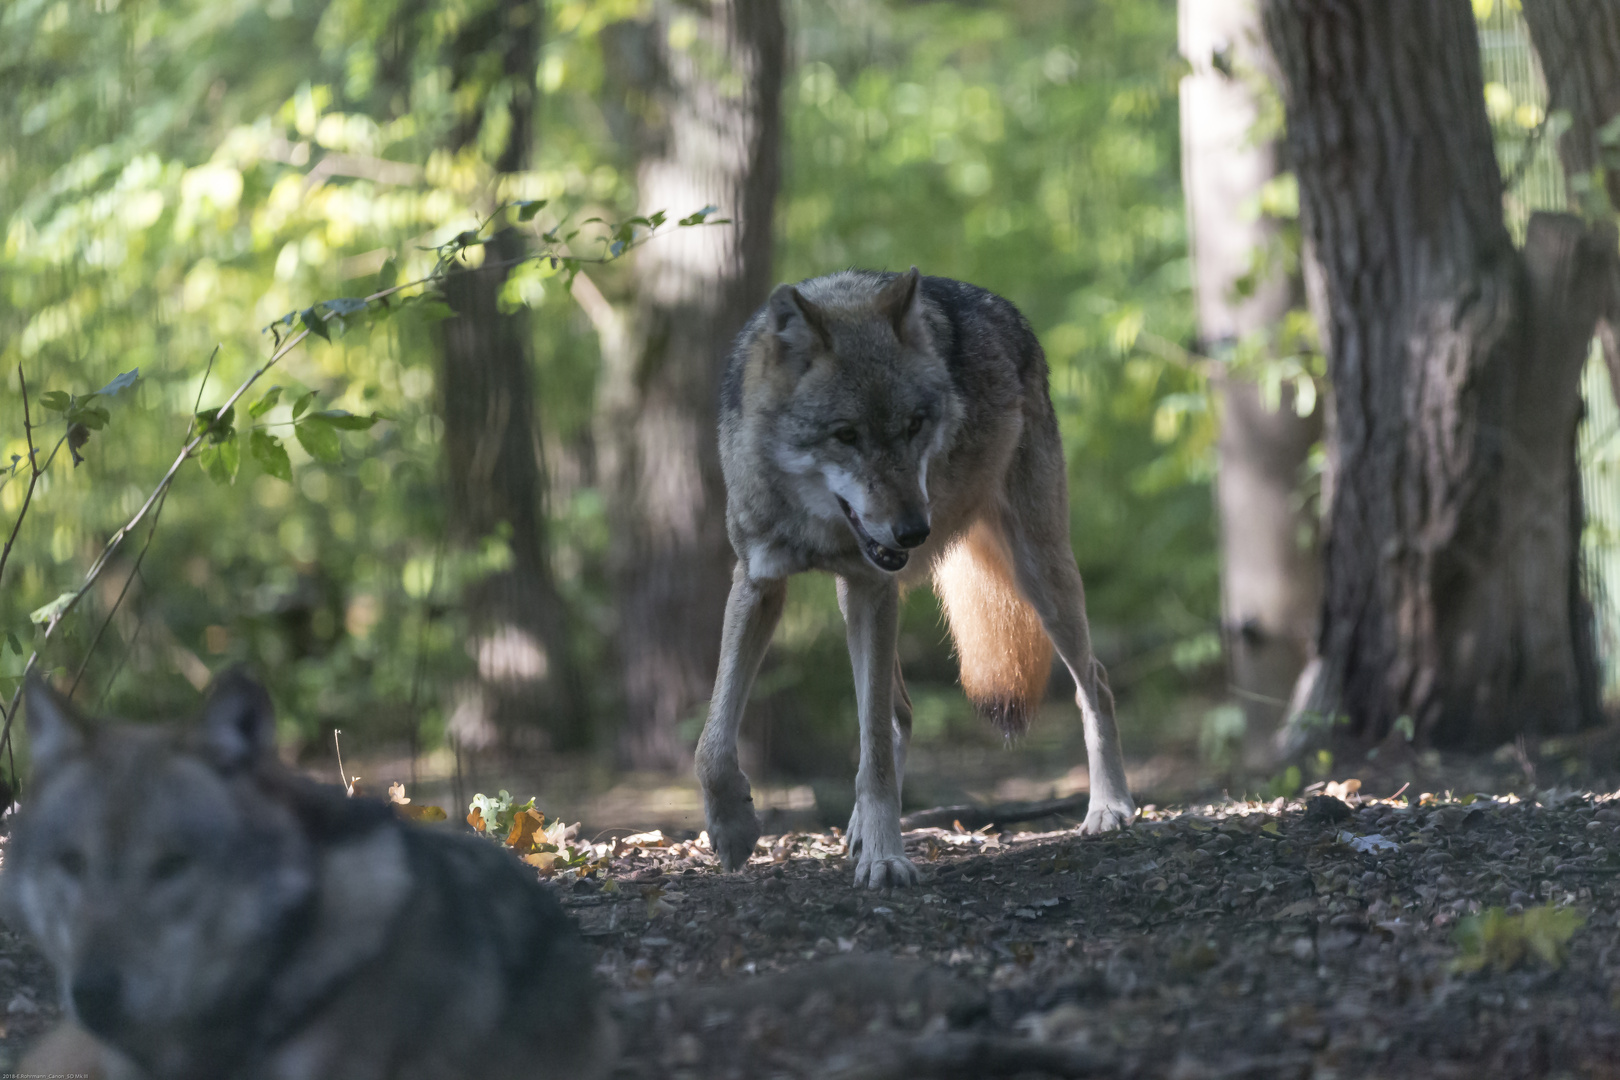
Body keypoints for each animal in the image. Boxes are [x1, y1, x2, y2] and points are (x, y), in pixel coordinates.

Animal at [695, 268, 1136, 889]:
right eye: (845, 435)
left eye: (913, 426)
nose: (914, 532)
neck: (816, 524)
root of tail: (1008, 311)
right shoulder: (760, 584)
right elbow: (712, 740)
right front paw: (732, 829)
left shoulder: (872, 588)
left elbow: (874, 751)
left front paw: (885, 858)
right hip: (859, 600)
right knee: (899, 711)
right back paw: (858, 830)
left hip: (1040, 576)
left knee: (1094, 682)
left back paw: (1109, 806)